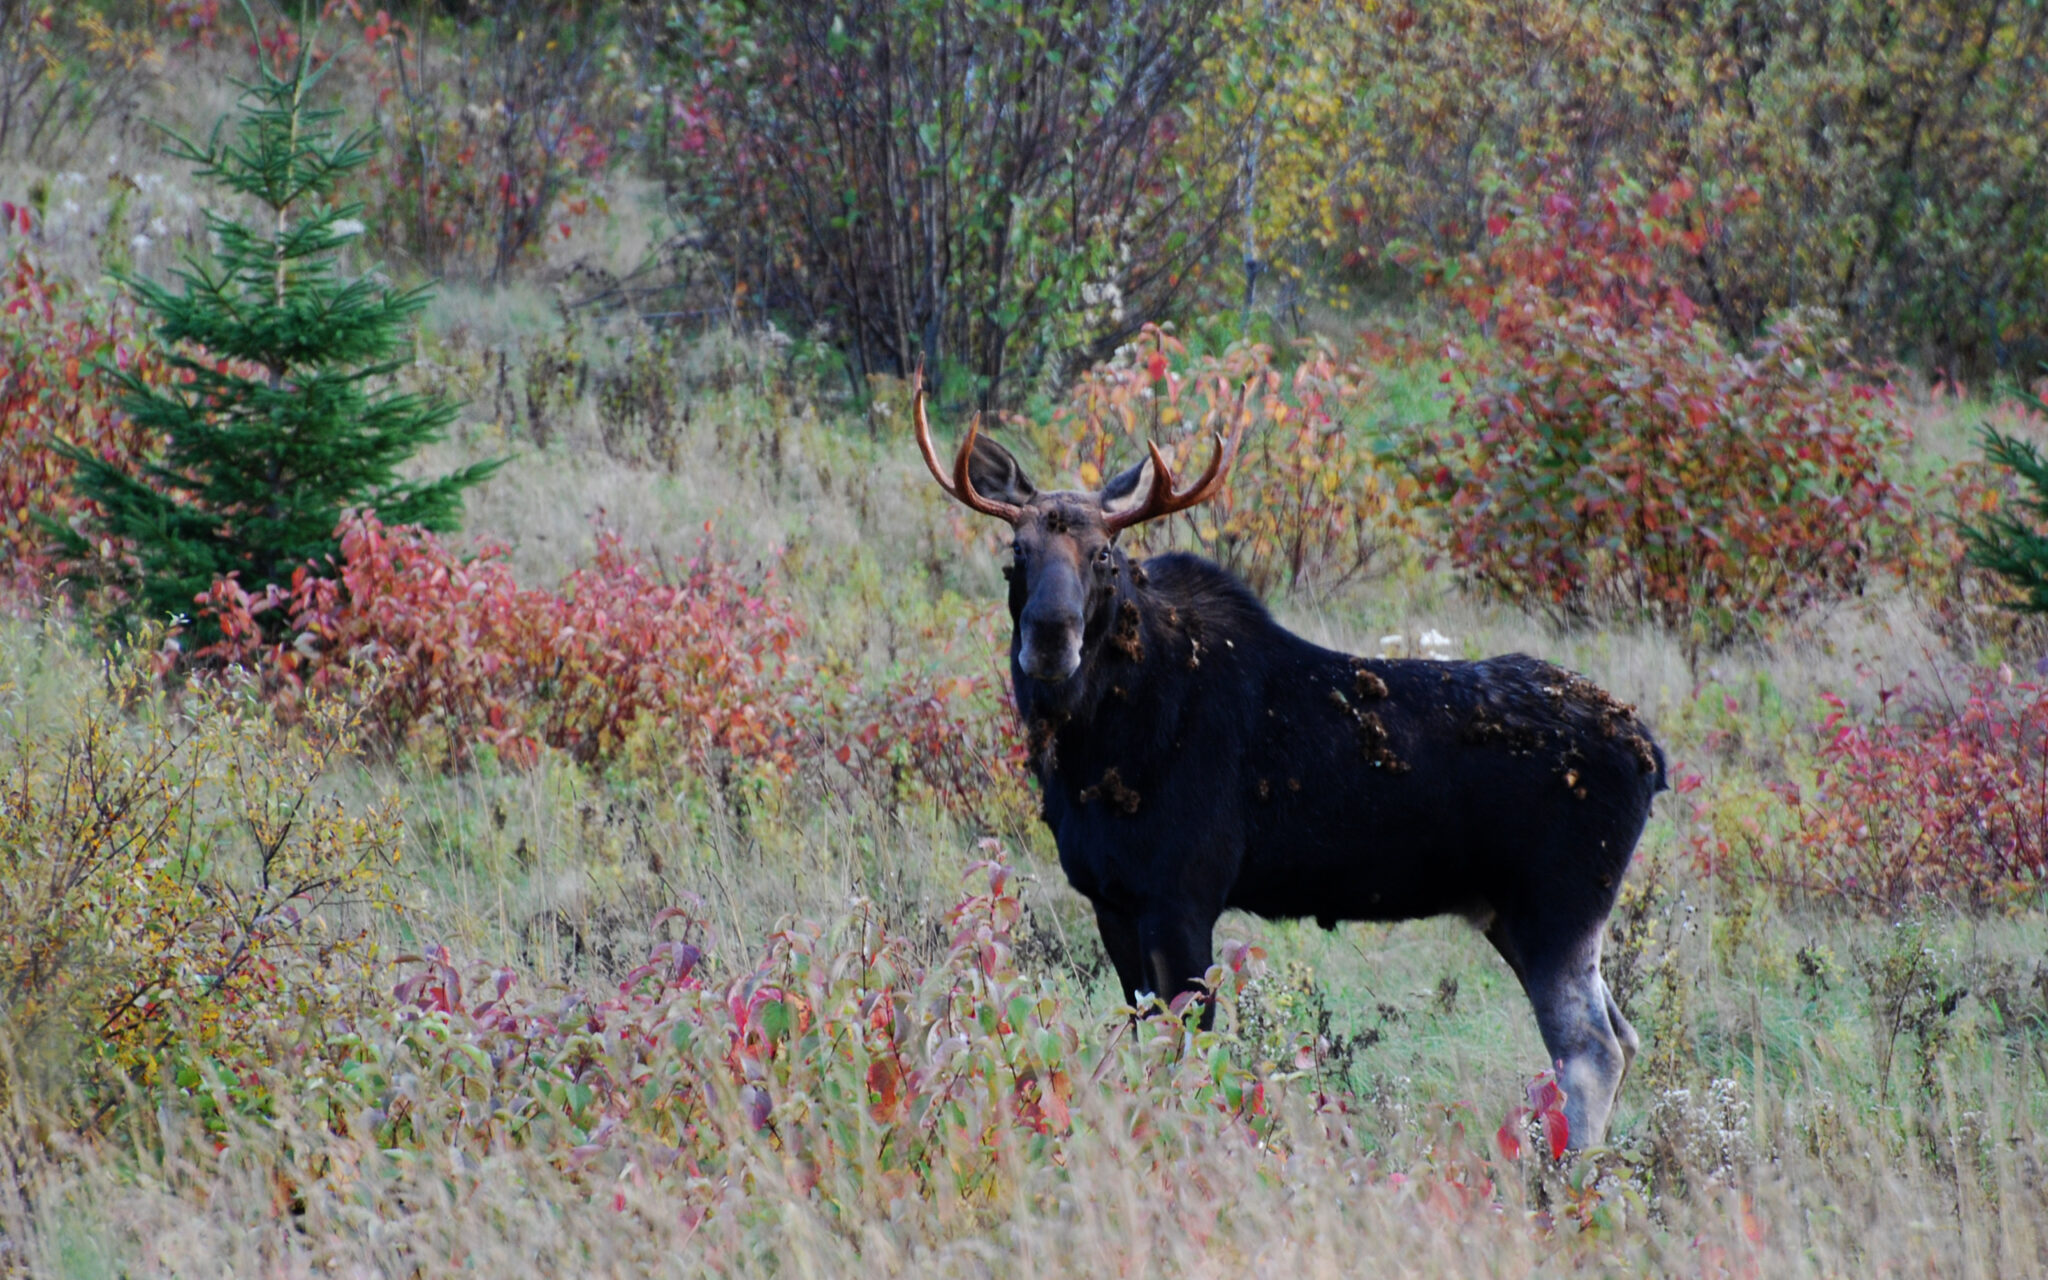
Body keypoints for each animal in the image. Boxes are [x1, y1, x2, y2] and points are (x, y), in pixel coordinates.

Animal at [913, 381, 1667, 1147]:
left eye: (1104, 554)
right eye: (1016, 549)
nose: (1049, 637)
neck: (1092, 748)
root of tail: (1651, 758)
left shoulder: (1184, 895)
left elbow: (1189, 1052)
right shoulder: (1112, 900)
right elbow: (1143, 1038)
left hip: (1558, 907)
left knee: (1592, 1049)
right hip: (1514, 916)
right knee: (1625, 1034)